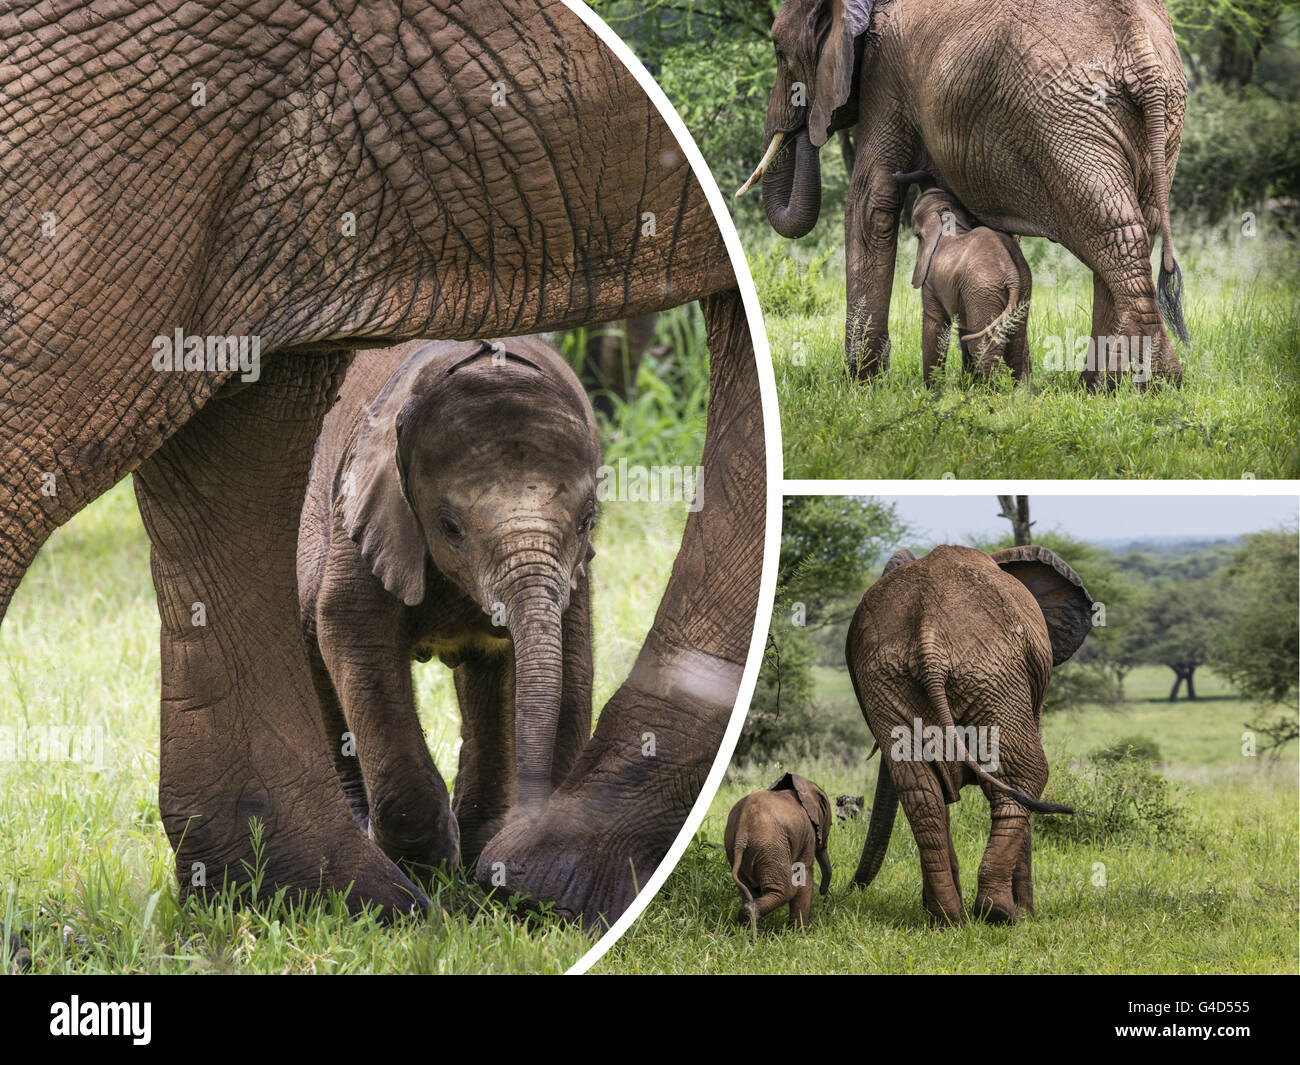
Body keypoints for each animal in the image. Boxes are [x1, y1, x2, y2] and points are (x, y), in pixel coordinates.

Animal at [297, 336, 601, 874]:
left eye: (588, 520)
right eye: (449, 527)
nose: (530, 819)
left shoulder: (574, 573)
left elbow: (570, 658)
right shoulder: (366, 510)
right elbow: (350, 630)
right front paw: (423, 870)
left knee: (487, 675)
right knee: (314, 638)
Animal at [725, 772, 832, 928]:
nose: (823, 893)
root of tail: (742, 830)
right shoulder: (808, 835)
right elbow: (804, 873)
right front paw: (799, 932)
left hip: (737, 848)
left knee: (749, 889)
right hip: (770, 846)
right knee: (787, 890)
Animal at [845, 545, 1093, 926]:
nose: (848, 888)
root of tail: (929, 634)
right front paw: (1026, 913)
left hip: (889, 679)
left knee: (922, 791)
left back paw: (947, 917)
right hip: (995, 674)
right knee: (1025, 777)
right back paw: (998, 913)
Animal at [899, 177, 1033, 385]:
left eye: (916, 236)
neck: (945, 214)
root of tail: (1013, 276)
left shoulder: (931, 280)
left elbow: (935, 324)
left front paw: (932, 389)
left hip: (984, 290)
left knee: (981, 347)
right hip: (1016, 288)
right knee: (1016, 345)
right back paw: (1018, 391)